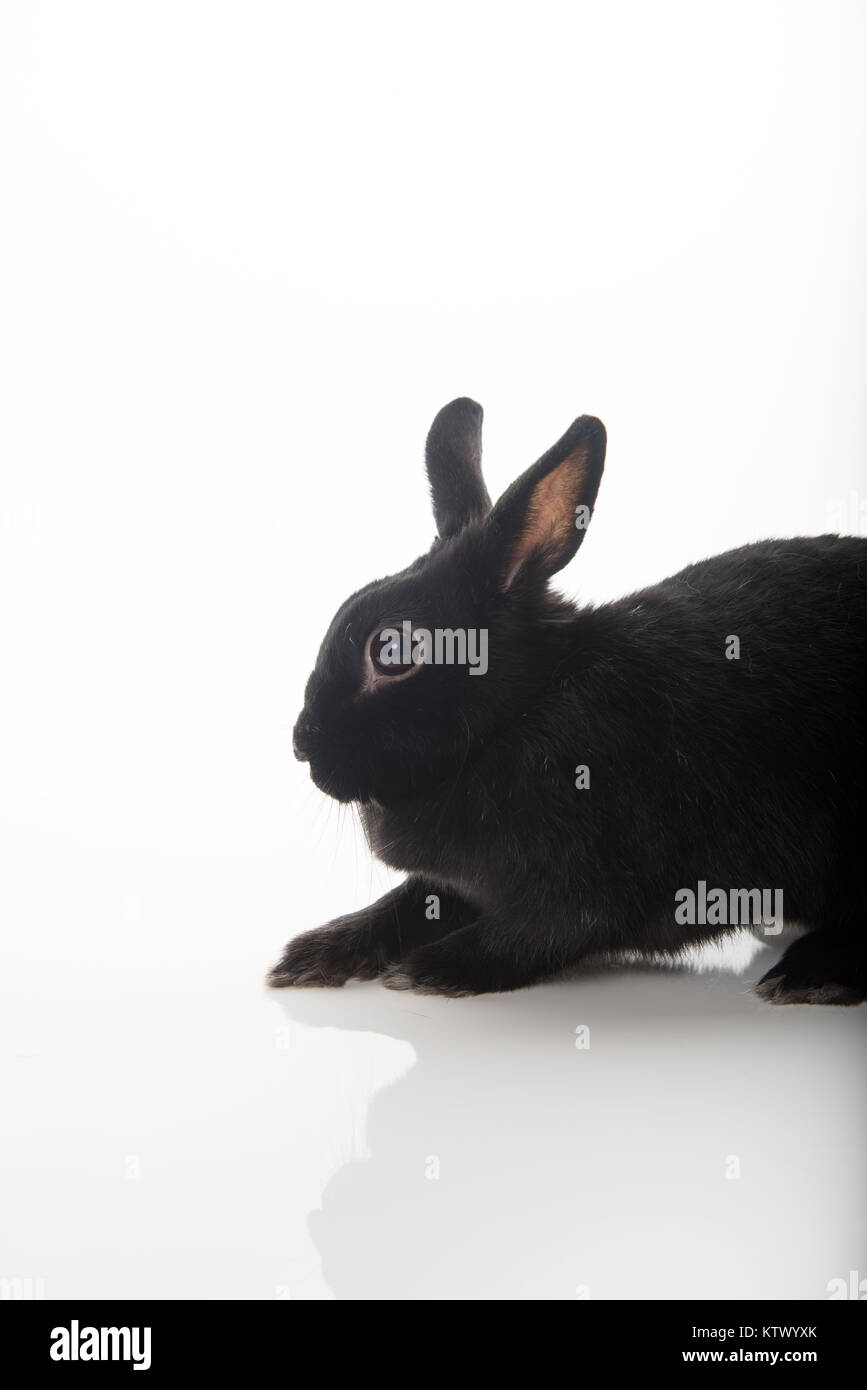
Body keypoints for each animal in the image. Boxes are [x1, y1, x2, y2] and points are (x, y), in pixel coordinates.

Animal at [270, 398, 867, 1003]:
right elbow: (405, 905)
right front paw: (311, 954)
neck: (520, 712)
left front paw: (429, 970)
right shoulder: (457, 885)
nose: (302, 744)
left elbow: (534, 936)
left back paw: (807, 974)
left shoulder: (594, 882)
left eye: (392, 650)